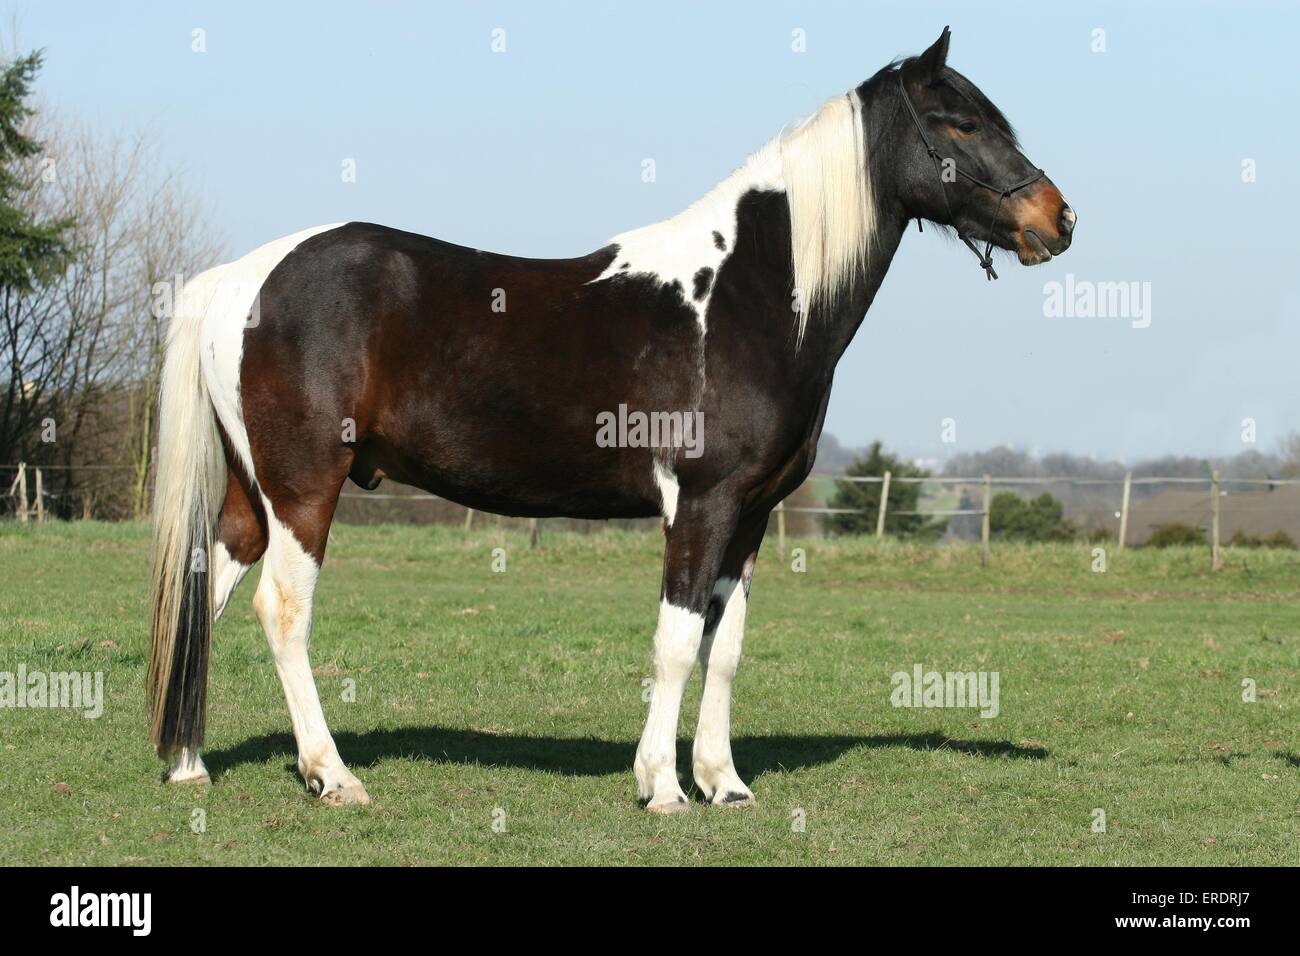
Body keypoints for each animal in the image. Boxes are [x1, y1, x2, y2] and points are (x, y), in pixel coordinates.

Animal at [148, 27, 1074, 812]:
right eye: (959, 122)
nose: (1057, 218)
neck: (742, 297)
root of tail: (241, 277)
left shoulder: (751, 515)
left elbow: (724, 648)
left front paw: (724, 783)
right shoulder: (699, 504)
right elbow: (675, 641)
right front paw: (661, 787)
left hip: (252, 491)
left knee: (211, 587)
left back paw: (189, 763)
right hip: (305, 487)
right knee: (282, 609)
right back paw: (331, 775)